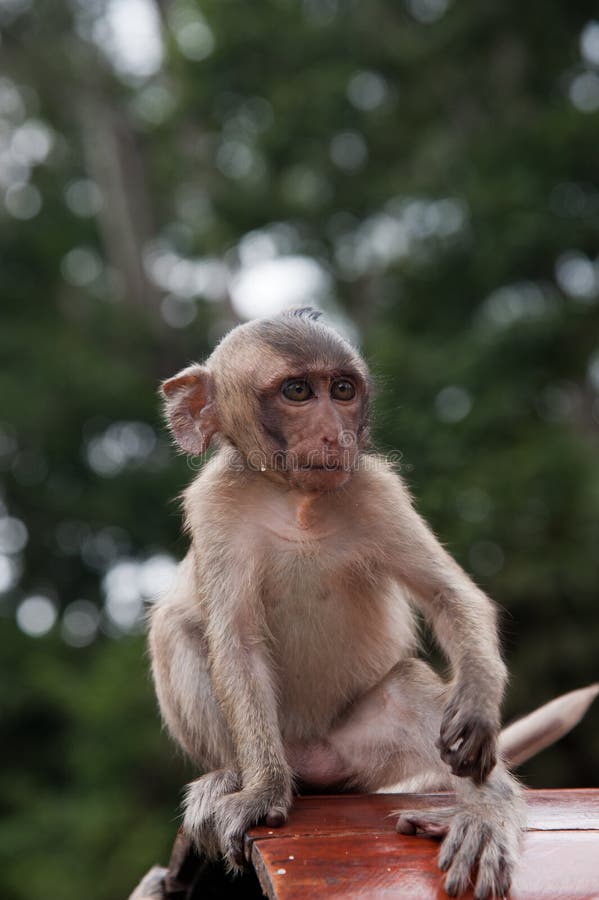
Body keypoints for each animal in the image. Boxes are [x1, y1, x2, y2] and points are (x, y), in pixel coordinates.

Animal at [149, 307, 526, 899]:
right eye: (298, 391)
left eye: (343, 390)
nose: (336, 433)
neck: (296, 501)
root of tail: (312, 761)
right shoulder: (215, 507)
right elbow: (237, 645)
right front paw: (262, 791)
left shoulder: (377, 489)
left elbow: (450, 596)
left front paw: (480, 697)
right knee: (174, 628)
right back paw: (234, 777)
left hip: (359, 756)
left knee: (407, 691)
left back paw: (487, 812)